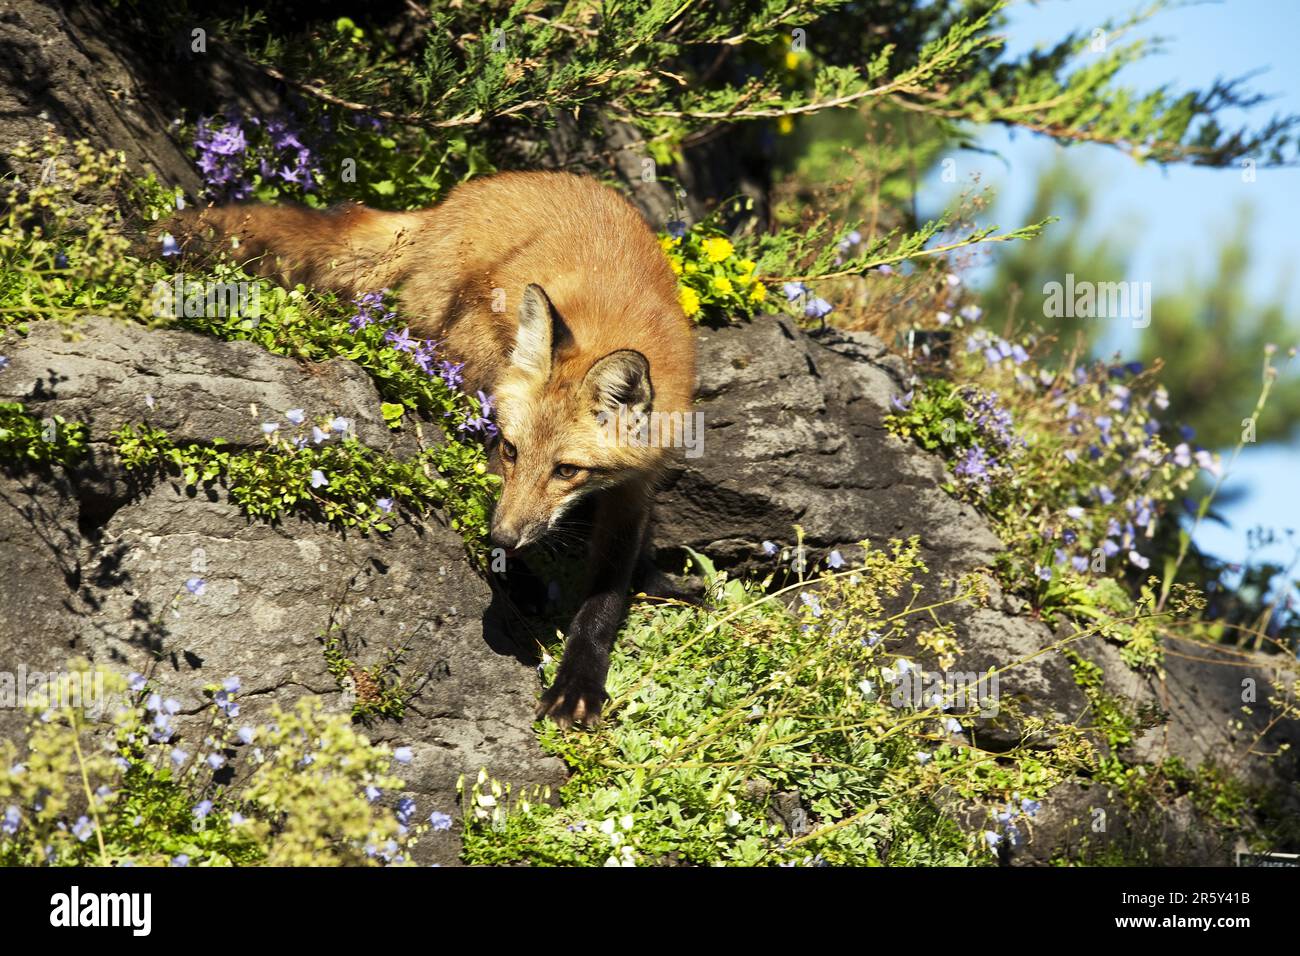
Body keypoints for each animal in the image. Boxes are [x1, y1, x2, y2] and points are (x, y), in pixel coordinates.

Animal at [163, 171, 697, 728]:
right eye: (512, 451)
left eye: (567, 470)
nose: (504, 539)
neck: (613, 316)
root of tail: (458, 198)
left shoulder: (637, 484)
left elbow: (606, 596)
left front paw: (581, 678)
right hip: (470, 364)